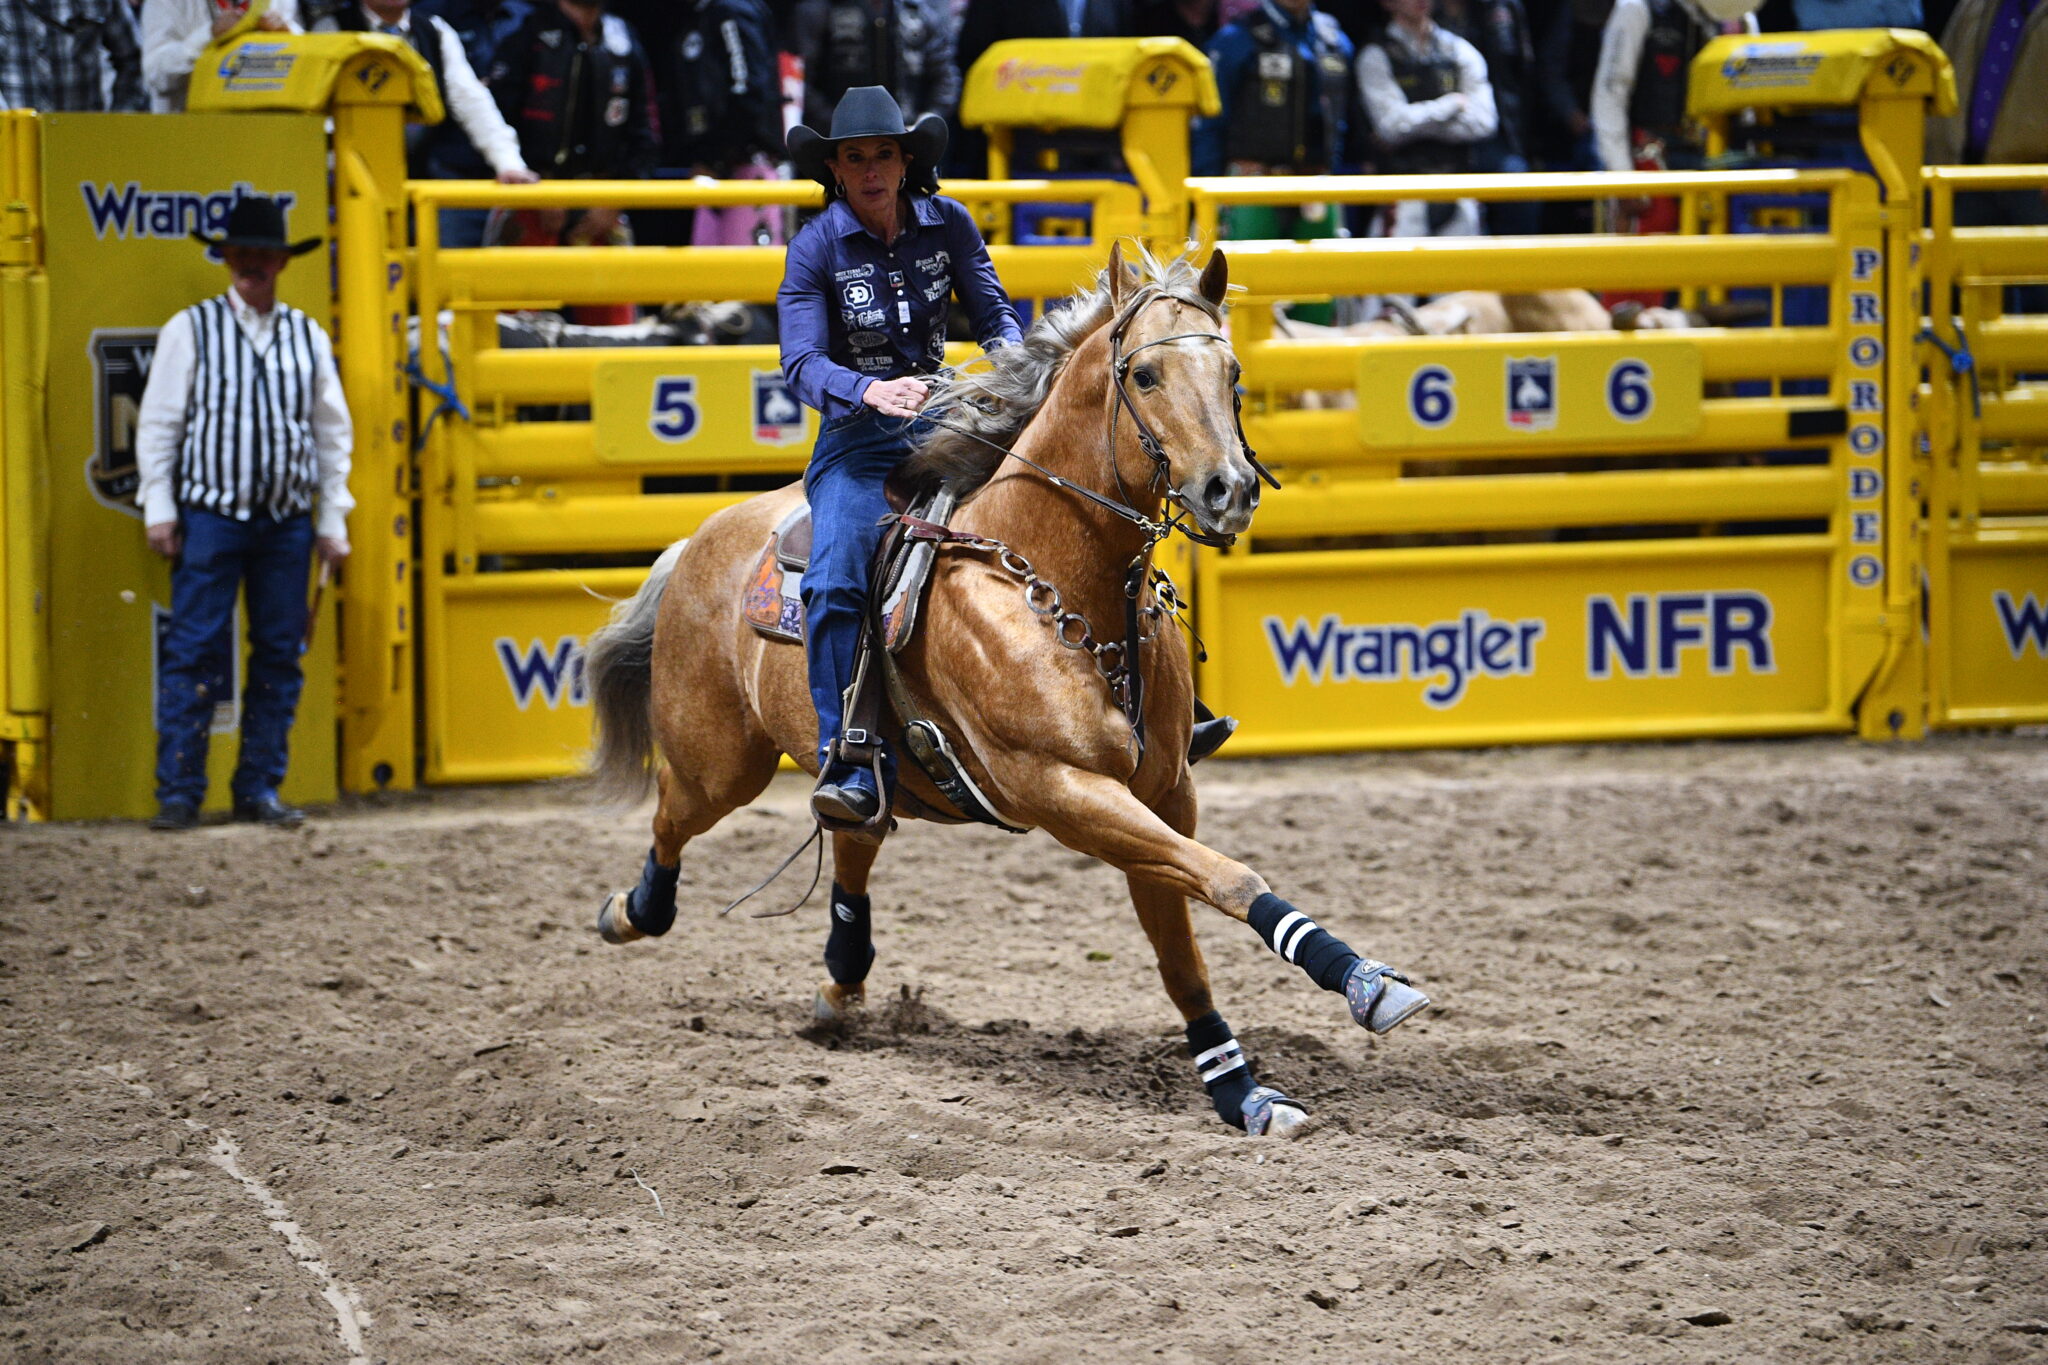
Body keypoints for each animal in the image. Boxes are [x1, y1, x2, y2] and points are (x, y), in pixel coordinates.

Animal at [580, 244, 1429, 1138]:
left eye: (1232, 371)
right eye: (1146, 374)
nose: (1229, 489)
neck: (1050, 576)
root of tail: (698, 539)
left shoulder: (1162, 792)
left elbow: (1181, 942)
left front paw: (1242, 1086)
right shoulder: (1061, 788)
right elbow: (1233, 879)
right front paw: (1368, 986)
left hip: (863, 772)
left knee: (852, 835)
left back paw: (841, 985)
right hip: (717, 761)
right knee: (673, 821)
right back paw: (632, 911)